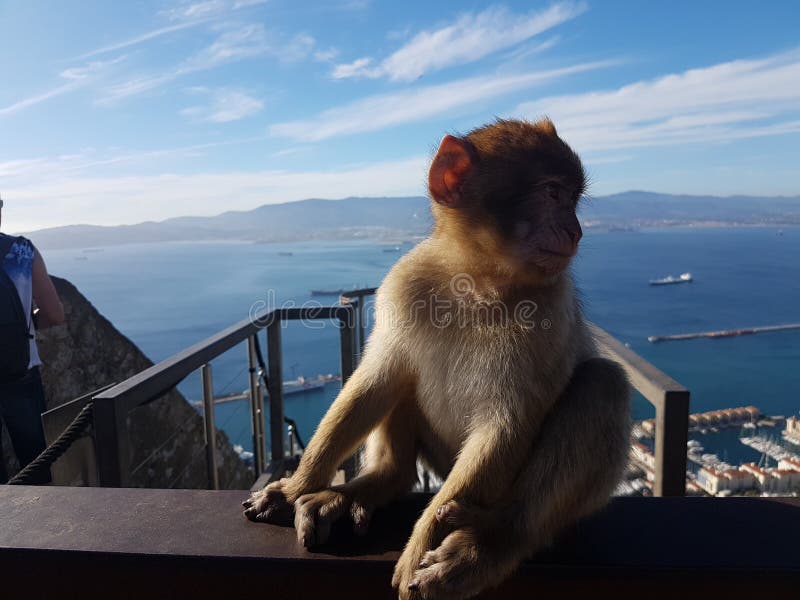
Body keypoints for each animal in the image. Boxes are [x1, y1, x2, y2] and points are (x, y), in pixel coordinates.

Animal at [243, 118, 631, 600]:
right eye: (553, 193)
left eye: (570, 198)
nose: (576, 231)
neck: (477, 278)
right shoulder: (406, 283)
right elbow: (378, 379)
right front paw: (296, 486)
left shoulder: (552, 309)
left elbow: (508, 422)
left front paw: (424, 542)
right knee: (404, 386)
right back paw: (374, 483)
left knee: (602, 383)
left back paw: (494, 539)